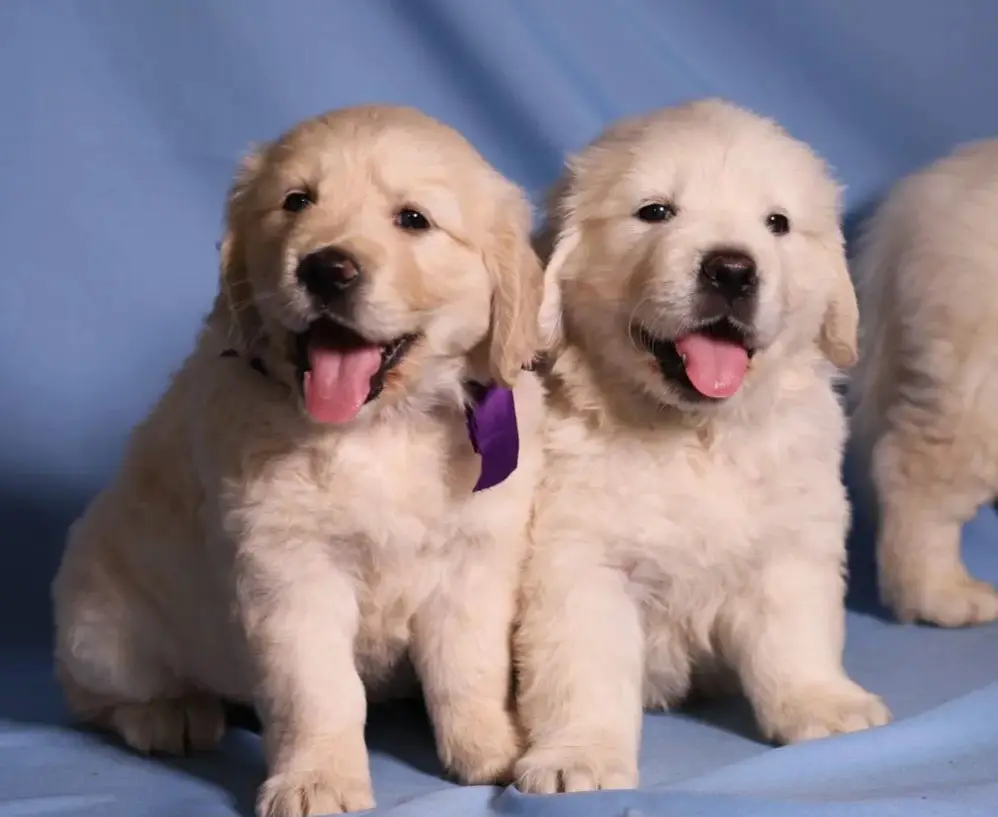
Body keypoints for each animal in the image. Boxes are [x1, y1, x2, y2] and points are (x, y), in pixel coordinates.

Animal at [49, 105, 544, 812]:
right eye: (296, 202)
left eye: (413, 219)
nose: (326, 268)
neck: (378, 428)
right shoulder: (288, 567)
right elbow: (317, 689)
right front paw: (318, 780)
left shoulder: (475, 556)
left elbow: (469, 665)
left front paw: (491, 749)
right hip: (99, 622)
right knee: (93, 696)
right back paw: (170, 713)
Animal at [516, 97, 892, 792]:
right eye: (655, 212)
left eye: (777, 223)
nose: (732, 269)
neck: (694, 436)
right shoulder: (577, 560)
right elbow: (581, 666)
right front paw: (579, 756)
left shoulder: (790, 540)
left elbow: (796, 634)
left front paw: (825, 705)